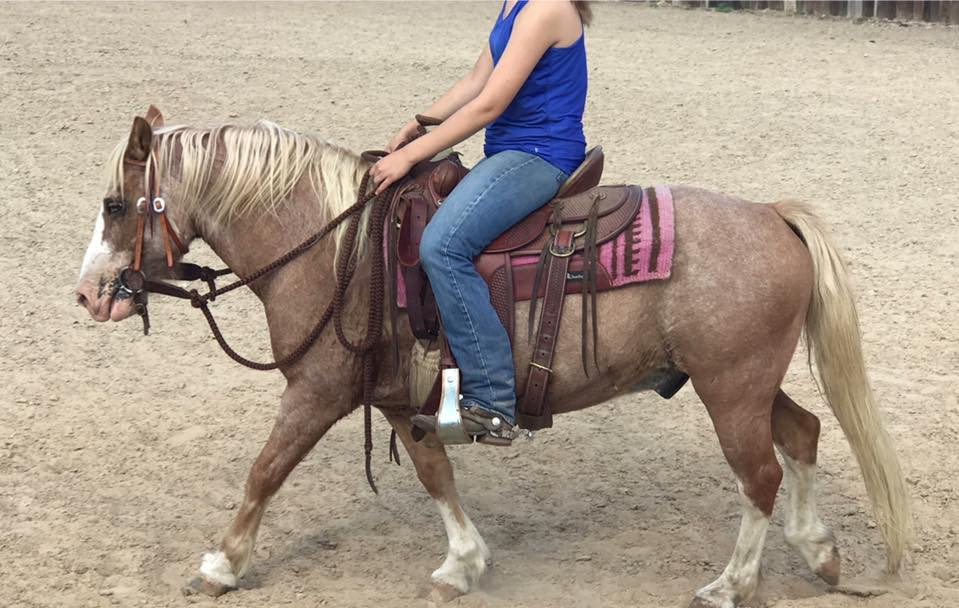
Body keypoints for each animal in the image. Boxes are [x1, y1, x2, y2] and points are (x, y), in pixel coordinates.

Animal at [75, 107, 910, 608]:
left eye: (116, 205)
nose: (88, 295)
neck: (336, 246)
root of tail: (772, 215)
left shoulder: (317, 391)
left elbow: (264, 471)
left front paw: (222, 564)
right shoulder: (399, 398)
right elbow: (434, 474)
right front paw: (462, 563)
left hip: (729, 389)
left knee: (759, 474)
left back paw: (731, 585)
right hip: (742, 381)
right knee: (801, 434)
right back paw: (819, 552)